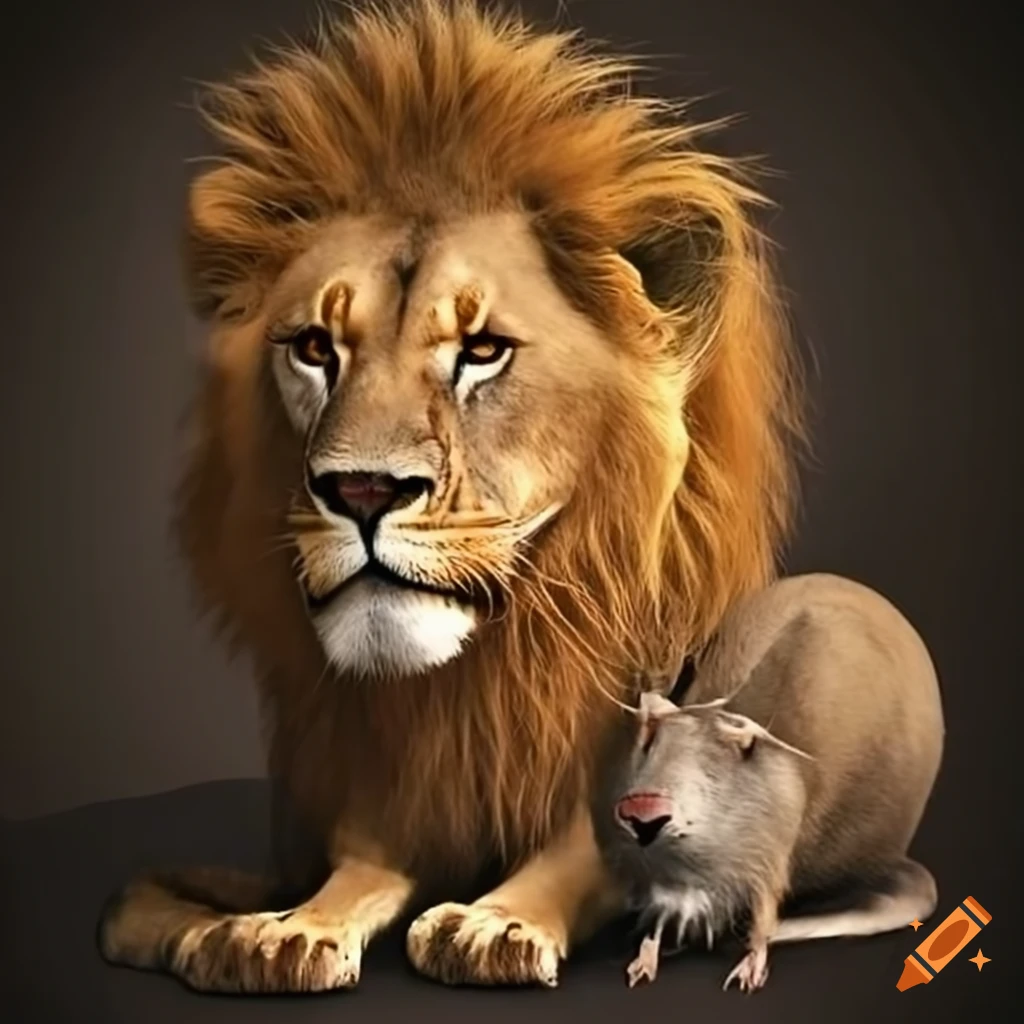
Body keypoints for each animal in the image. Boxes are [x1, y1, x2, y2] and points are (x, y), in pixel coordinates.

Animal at [97, 0, 803, 993]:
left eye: (482, 350)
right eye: (314, 347)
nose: (359, 489)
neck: (478, 680)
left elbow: (593, 843)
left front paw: (495, 921)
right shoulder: (387, 785)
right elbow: (361, 864)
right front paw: (284, 929)